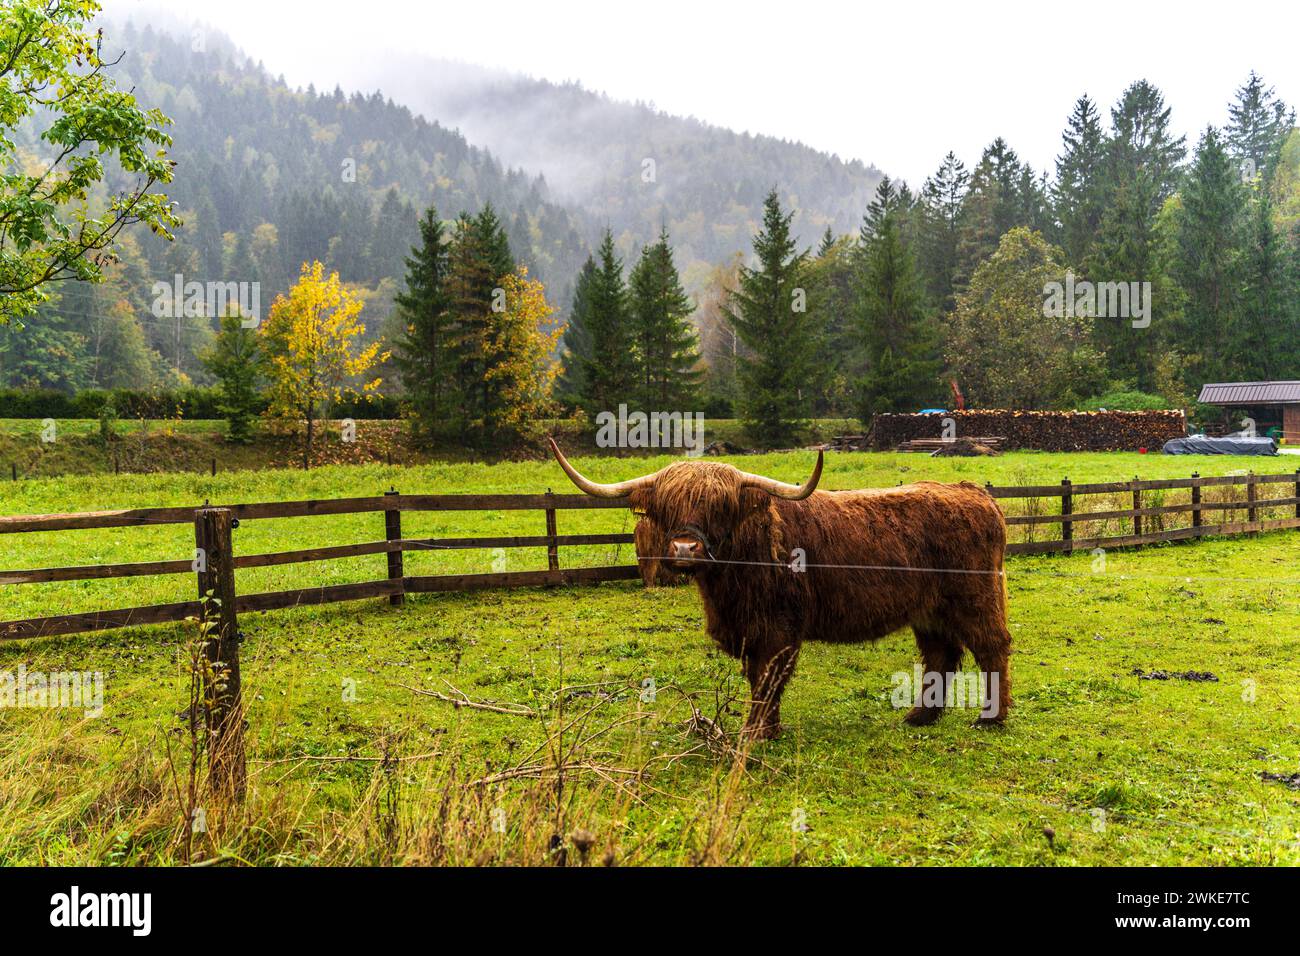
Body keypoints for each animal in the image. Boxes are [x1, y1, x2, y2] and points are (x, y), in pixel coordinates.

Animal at [548, 439, 1011, 741]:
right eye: (666, 506)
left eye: (720, 507)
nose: (683, 548)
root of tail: (974, 493)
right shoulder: (749, 630)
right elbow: (758, 676)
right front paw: (767, 729)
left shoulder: (778, 628)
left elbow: (769, 679)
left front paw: (755, 733)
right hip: (929, 609)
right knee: (941, 654)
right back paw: (921, 716)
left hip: (976, 597)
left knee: (992, 647)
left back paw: (991, 718)